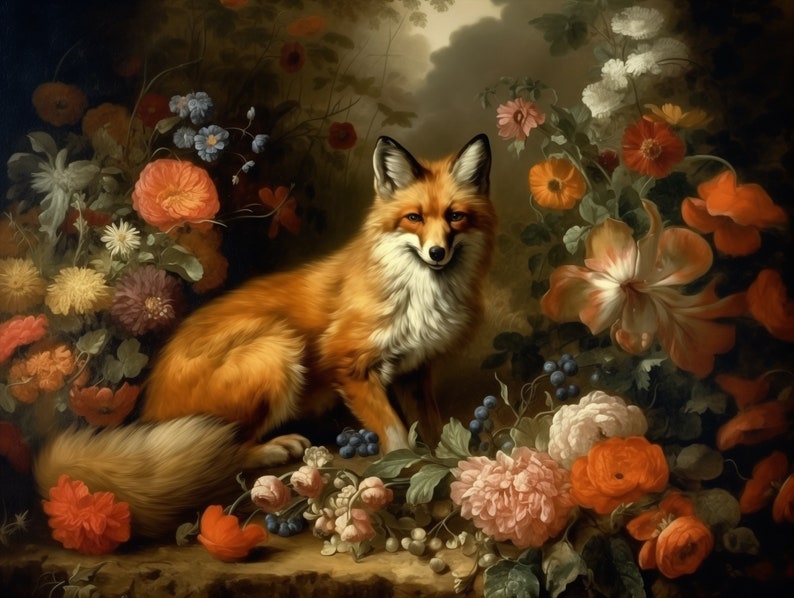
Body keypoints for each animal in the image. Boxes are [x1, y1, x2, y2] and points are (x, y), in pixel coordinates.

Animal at [34, 134, 496, 537]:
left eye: (455, 217)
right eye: (414, 218)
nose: (437, 253)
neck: (419, 295)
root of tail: (150, 408)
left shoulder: (417, 371)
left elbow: (431, 429)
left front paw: (448, 464)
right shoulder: (347, 364)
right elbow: (398, 435)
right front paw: (406, 472)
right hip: (278, 349)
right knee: (226, 451)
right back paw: (272, 447)